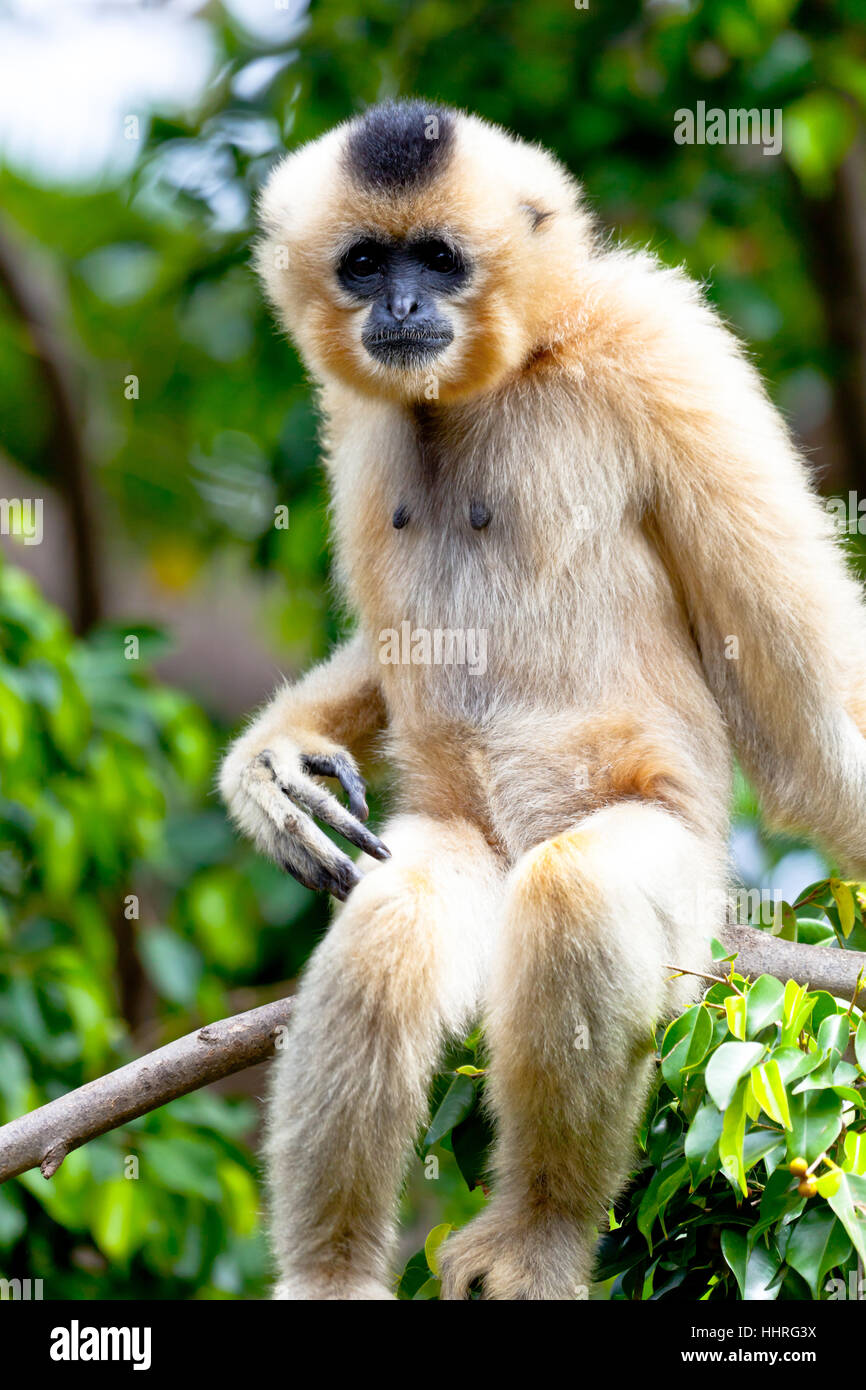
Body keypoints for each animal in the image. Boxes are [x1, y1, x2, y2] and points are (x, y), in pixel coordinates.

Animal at [220, 99, 866, 1300]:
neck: (507, 375)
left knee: (574, 893)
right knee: (396, 926)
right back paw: (331, 1271)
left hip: (690, 886)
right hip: (462, 840)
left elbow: (799, 701)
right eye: (366, 261)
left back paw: (539, 1234)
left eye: (439, 258)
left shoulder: (666, 348)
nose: (402, 306)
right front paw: (273, 767)